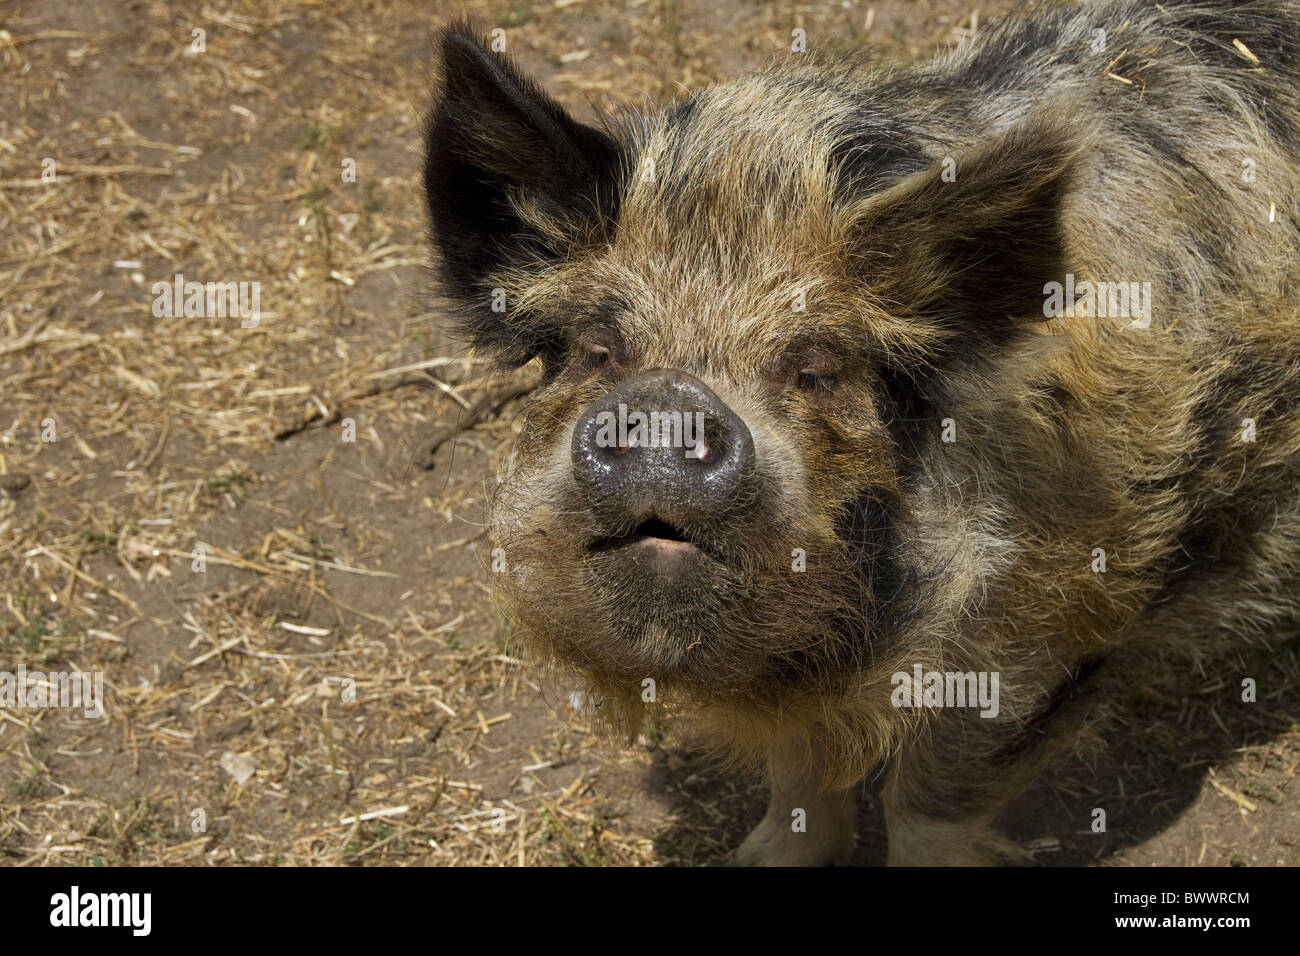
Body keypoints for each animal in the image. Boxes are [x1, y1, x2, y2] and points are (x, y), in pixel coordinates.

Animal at [422, 0, 1300, 864]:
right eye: (598, 348)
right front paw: (758, 859)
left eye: (820, 366)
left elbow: (930, 801)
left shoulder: (1062, 615)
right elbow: (801, 774)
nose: (670, 397)